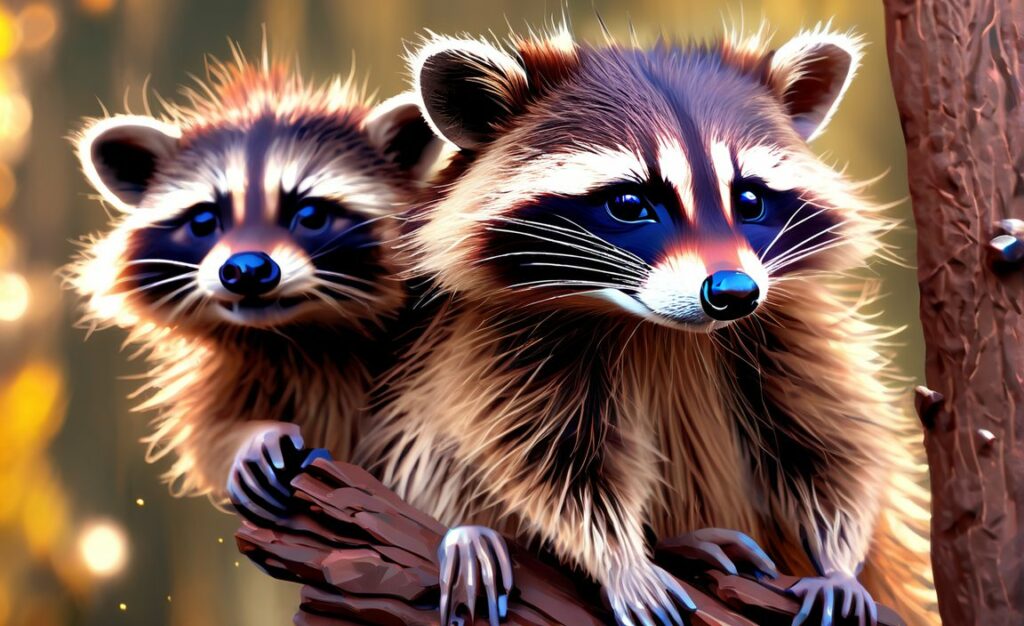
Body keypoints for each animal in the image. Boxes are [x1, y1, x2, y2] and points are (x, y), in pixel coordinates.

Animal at [66, 46, 437, 506]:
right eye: (205, 220)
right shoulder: (236, 369)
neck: (298, 336)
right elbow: (208, 435)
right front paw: (253, 437)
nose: (246, 270)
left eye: (310, 215)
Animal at [355, 23, 937, 626]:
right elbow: (547, 457)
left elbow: (829, 443)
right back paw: (474, 536)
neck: (661, 328)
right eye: (631, 204)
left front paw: (838, 564)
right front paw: (620, 558)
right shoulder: (497, 341)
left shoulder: (786, 324)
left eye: (749, 199)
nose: (733, 293)